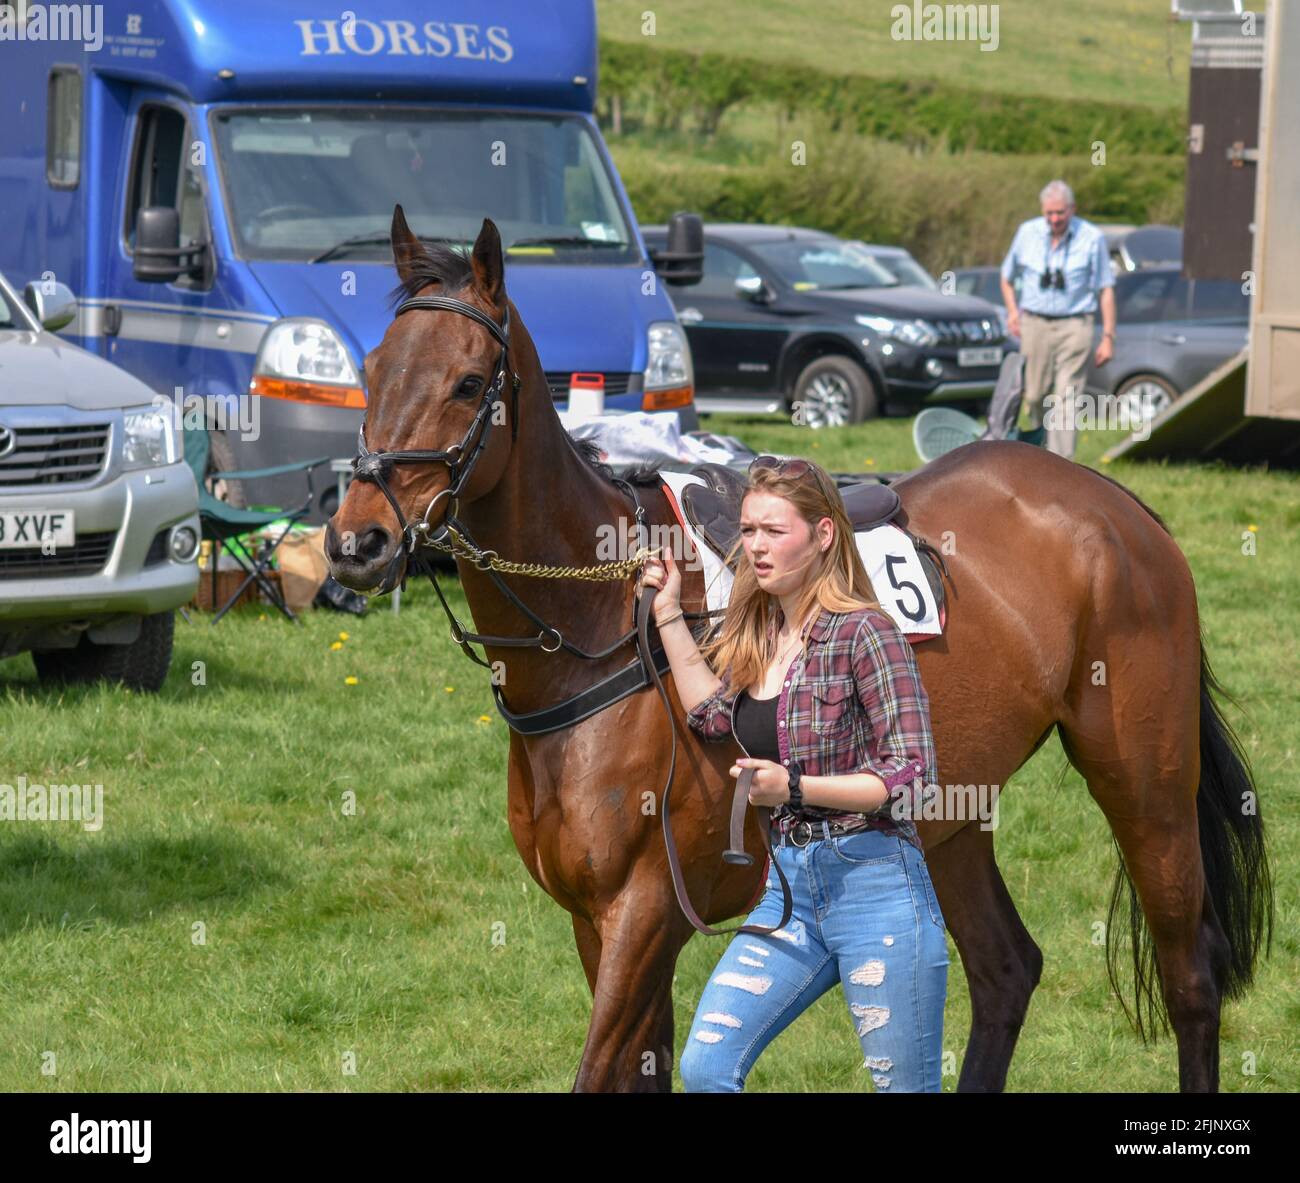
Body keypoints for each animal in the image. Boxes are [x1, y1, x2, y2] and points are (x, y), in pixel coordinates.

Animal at [325, 207, 1273, 1093]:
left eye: (467, 381)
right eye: (372, 373)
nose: (357, 541)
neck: (597, 630)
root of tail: (1118, 506)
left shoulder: (645, 912)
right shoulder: (598, 922)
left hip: (1144, 782)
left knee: (1190, 977)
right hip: (948, 805)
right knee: (1007, 968)